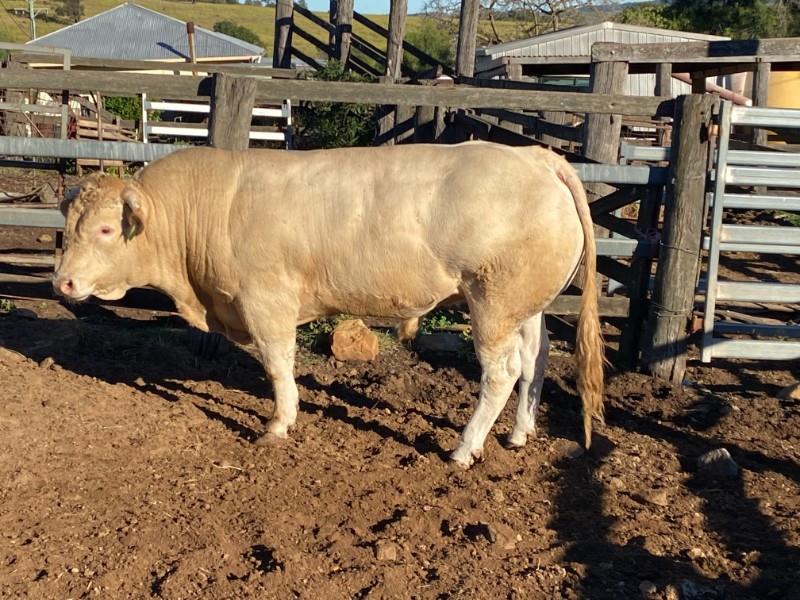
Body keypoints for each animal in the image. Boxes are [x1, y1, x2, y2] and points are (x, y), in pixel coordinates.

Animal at [53, 141, 604, 468]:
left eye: (106, 230)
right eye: (70, 226)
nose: (63, 281)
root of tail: (534, 156)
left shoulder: (266, 301)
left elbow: (278, 366)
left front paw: (278, 424)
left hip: (491, 303)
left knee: (501, 372)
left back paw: (464, 447)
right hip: (524, 306)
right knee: (535, 359)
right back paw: (519, 433)